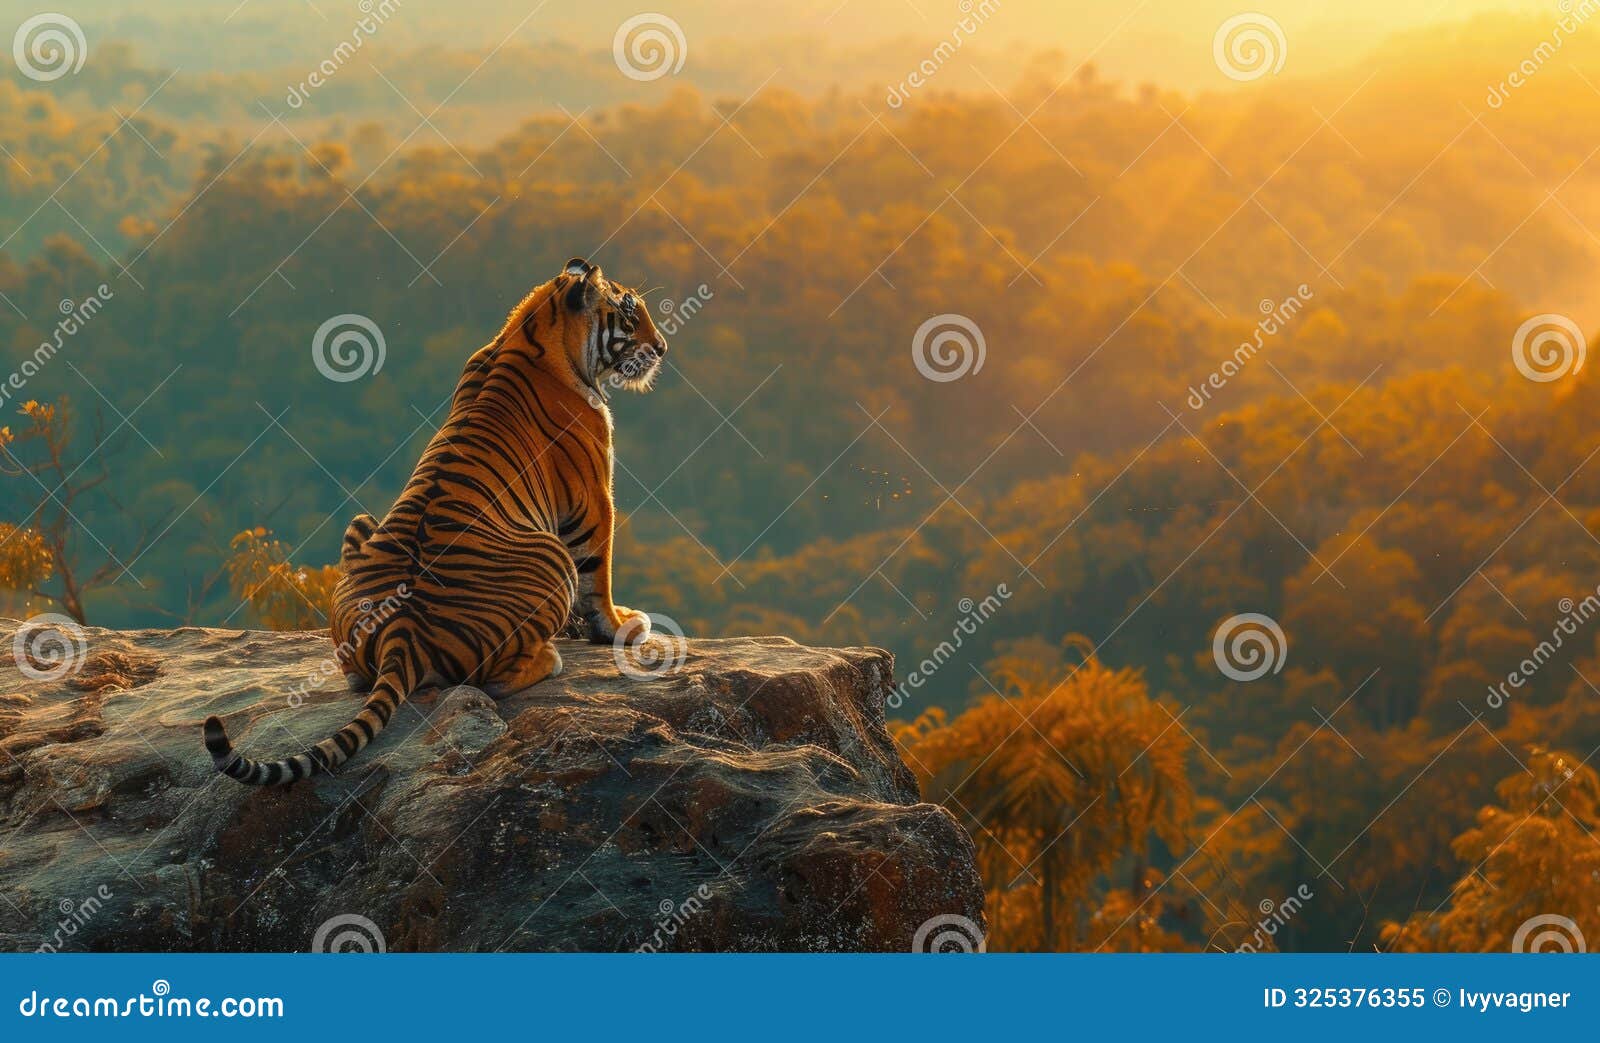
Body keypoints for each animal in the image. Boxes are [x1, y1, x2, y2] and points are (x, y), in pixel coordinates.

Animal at [203, 258, 669, 785]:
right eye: (630, 316)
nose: (662, 347)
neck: (535, 331)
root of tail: (401, 633)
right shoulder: (594, 499)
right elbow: (599, 574)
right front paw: (619, 626)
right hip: (550, 557)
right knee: (499, 678)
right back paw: (550, 657)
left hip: (361, 534)